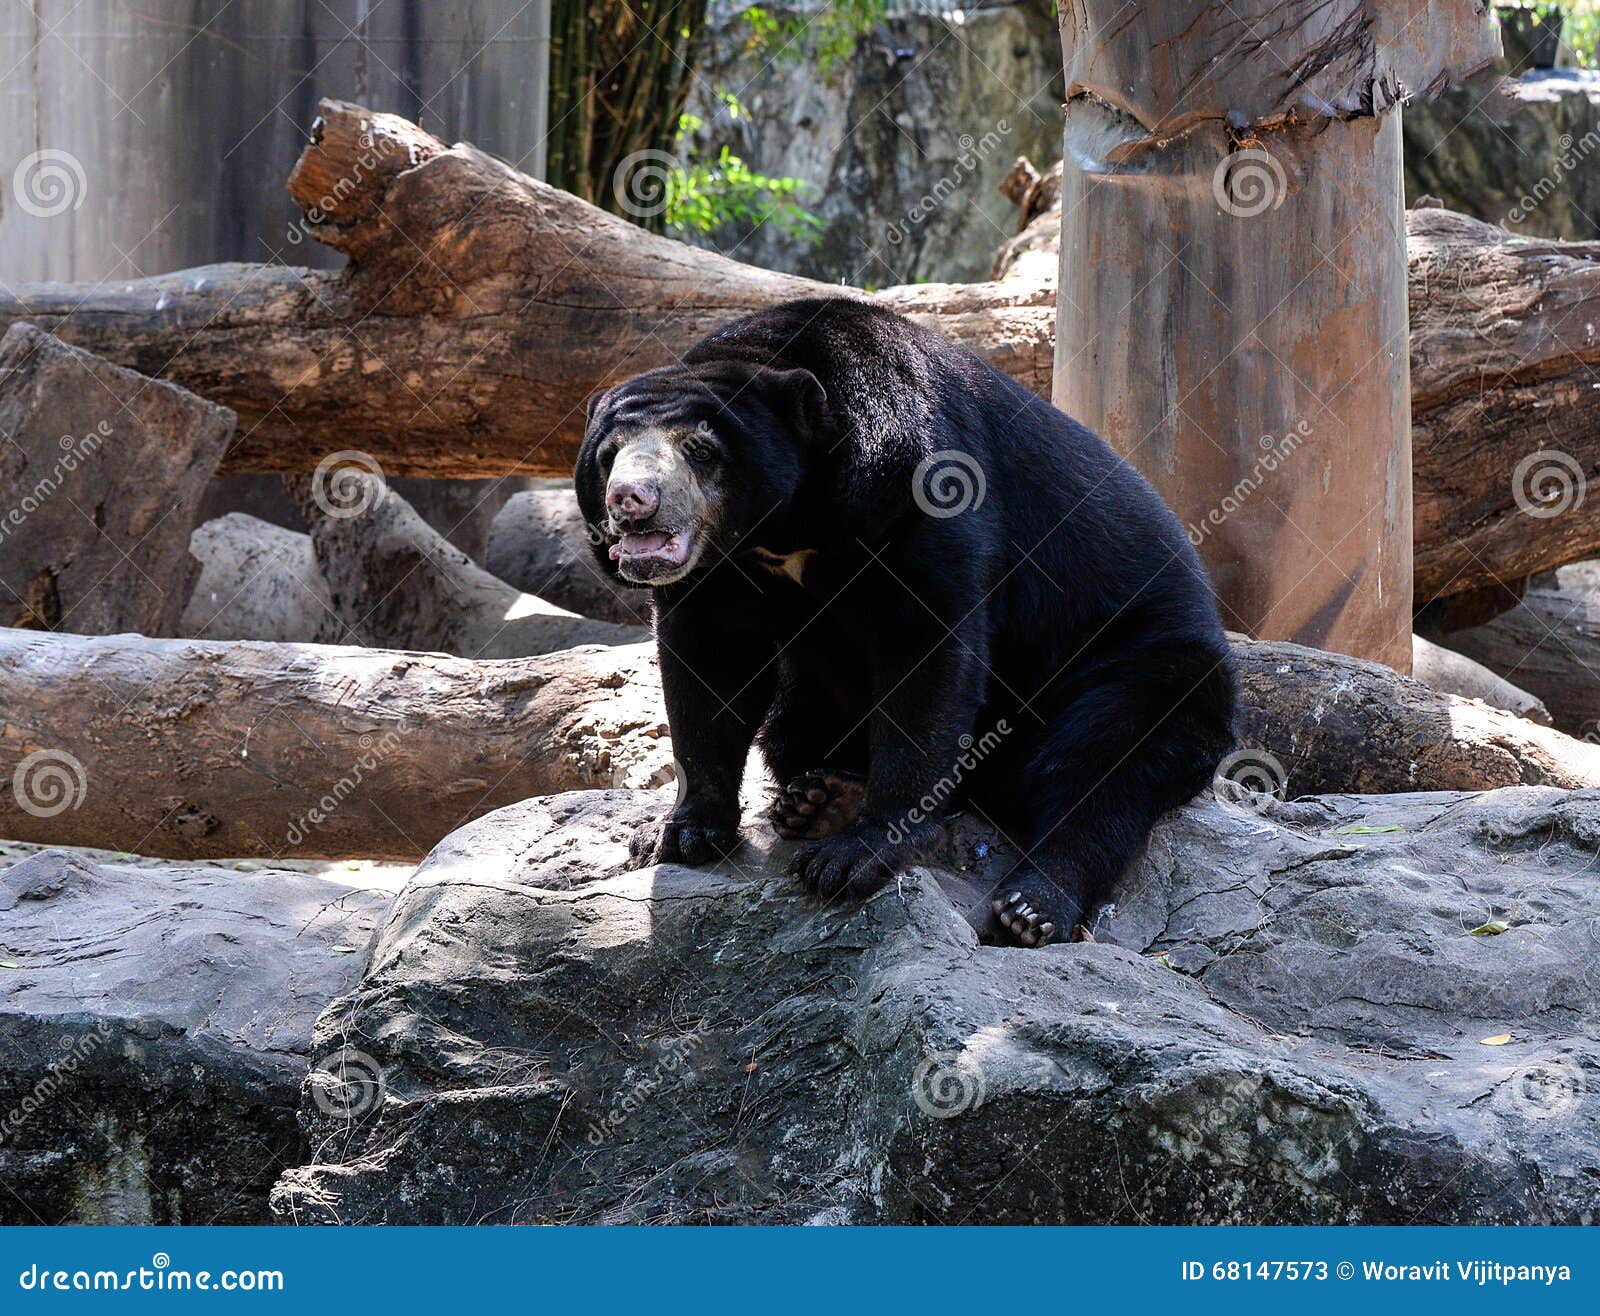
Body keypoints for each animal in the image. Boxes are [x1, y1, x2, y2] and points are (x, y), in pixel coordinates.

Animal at [575, 297, 1236, 947]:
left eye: (702, 451)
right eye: (608, 456)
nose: (631, 500)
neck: (787, 523)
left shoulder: (920, 490)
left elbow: (928, 651)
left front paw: (852, 858)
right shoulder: (717, 574)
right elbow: (709, 663)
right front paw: (678, 833)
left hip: (1145, 656)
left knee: (1107, 758)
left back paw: (1032, 905)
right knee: (791, 729)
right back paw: (820, 796)